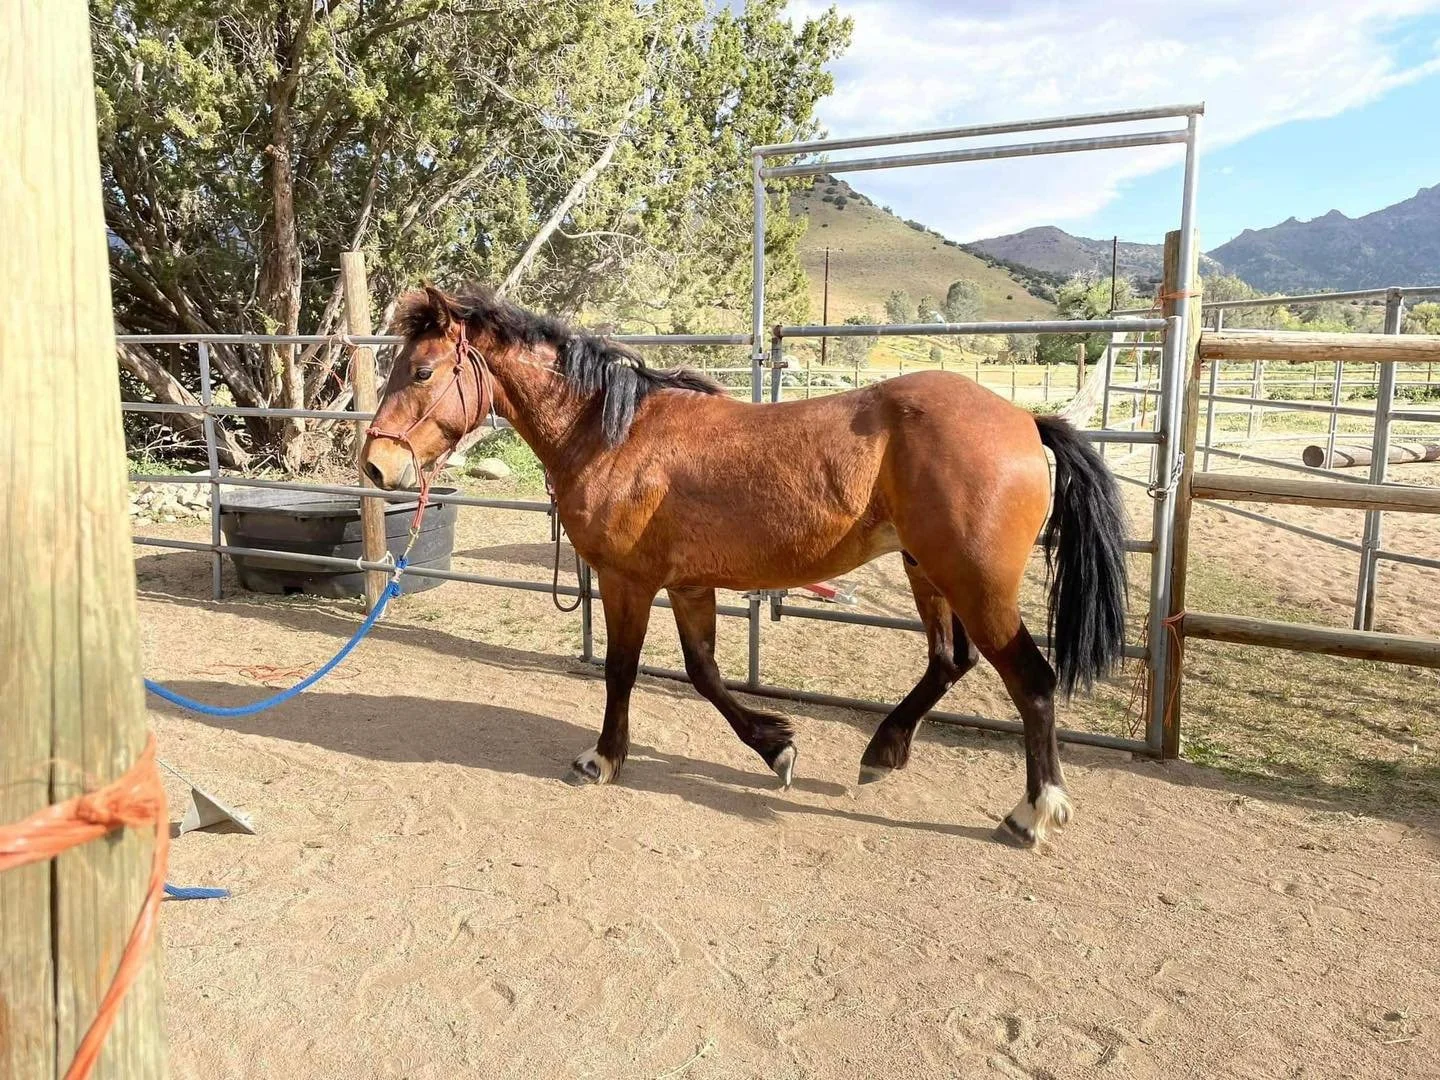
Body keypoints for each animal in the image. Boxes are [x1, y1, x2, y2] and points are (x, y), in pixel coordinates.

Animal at [361, 285, 1129, 847]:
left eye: (422, 370)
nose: (375, 467)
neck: (615, 434)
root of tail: (1025, 421)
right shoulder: (689, 585)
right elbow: (704, 674)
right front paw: (775, 746)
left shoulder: (629, 582)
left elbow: (621, 671)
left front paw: (603, 758)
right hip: (927, 571)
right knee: (950, 660)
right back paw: (883, 751)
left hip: (976, 582)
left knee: (1031, 681)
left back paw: (1034, 811)